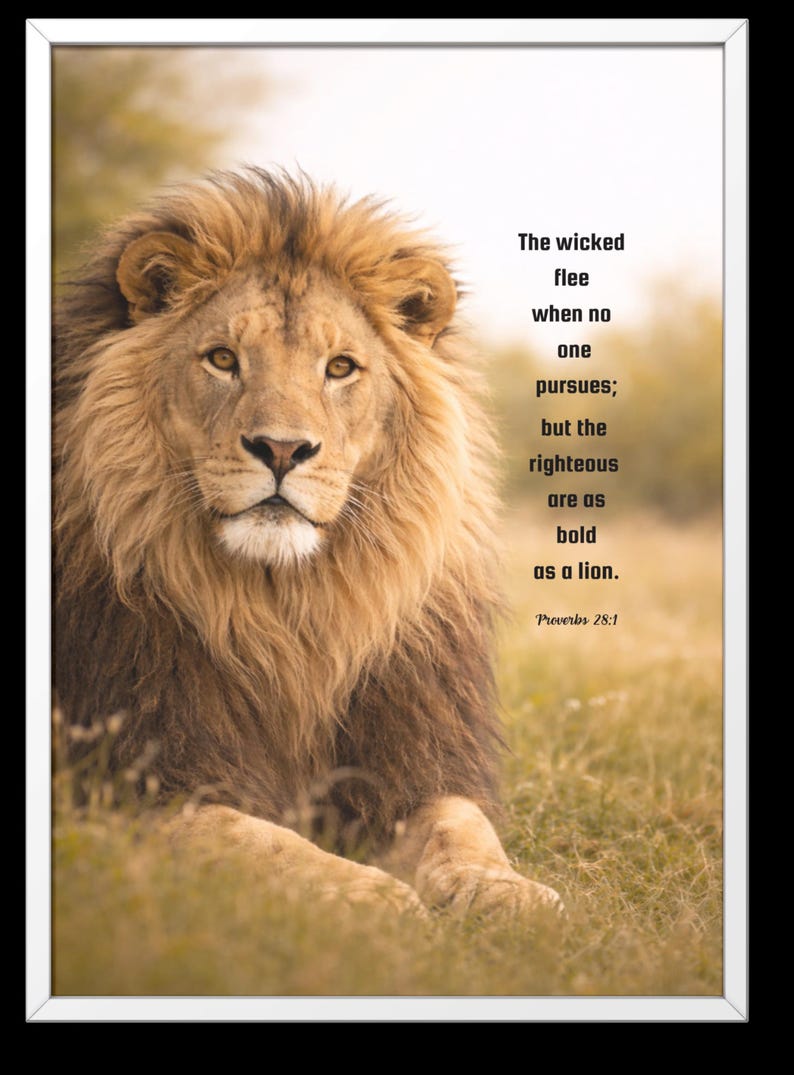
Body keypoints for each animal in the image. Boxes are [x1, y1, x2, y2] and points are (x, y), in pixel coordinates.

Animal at [54, 168, 562, 920]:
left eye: (341, 367)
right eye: (223, 359)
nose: (282, 448)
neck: (290, 616)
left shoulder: (407, 757)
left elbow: (459, 823)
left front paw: (505, 890)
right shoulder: (133, 783)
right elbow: (252, 838)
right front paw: (374, 895)